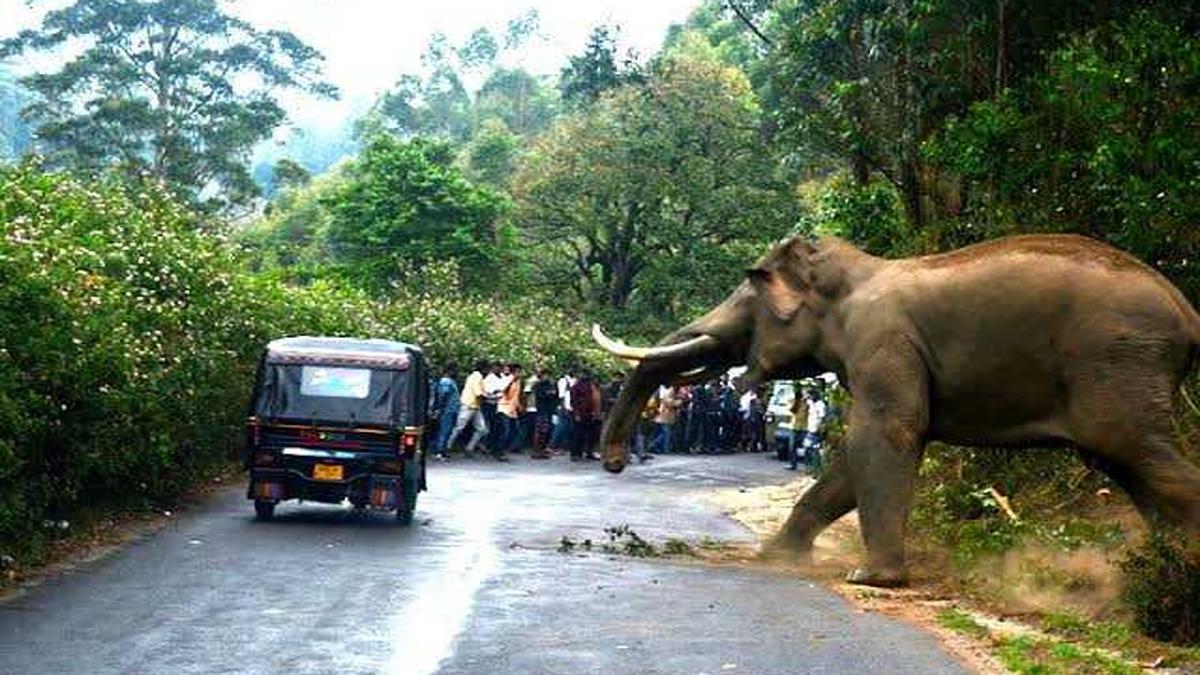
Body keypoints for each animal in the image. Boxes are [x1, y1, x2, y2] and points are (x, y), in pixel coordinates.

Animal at [594, 234, 1200, 587]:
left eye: (746, 298)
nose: (616, 463)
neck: (855, 273)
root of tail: (1188, 312)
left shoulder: (882, 342)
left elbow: (885, 435)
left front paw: (869, 577)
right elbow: (847, 462)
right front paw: (775, 555)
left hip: (1116, 363)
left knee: (1141, 456)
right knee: (1131, 468)